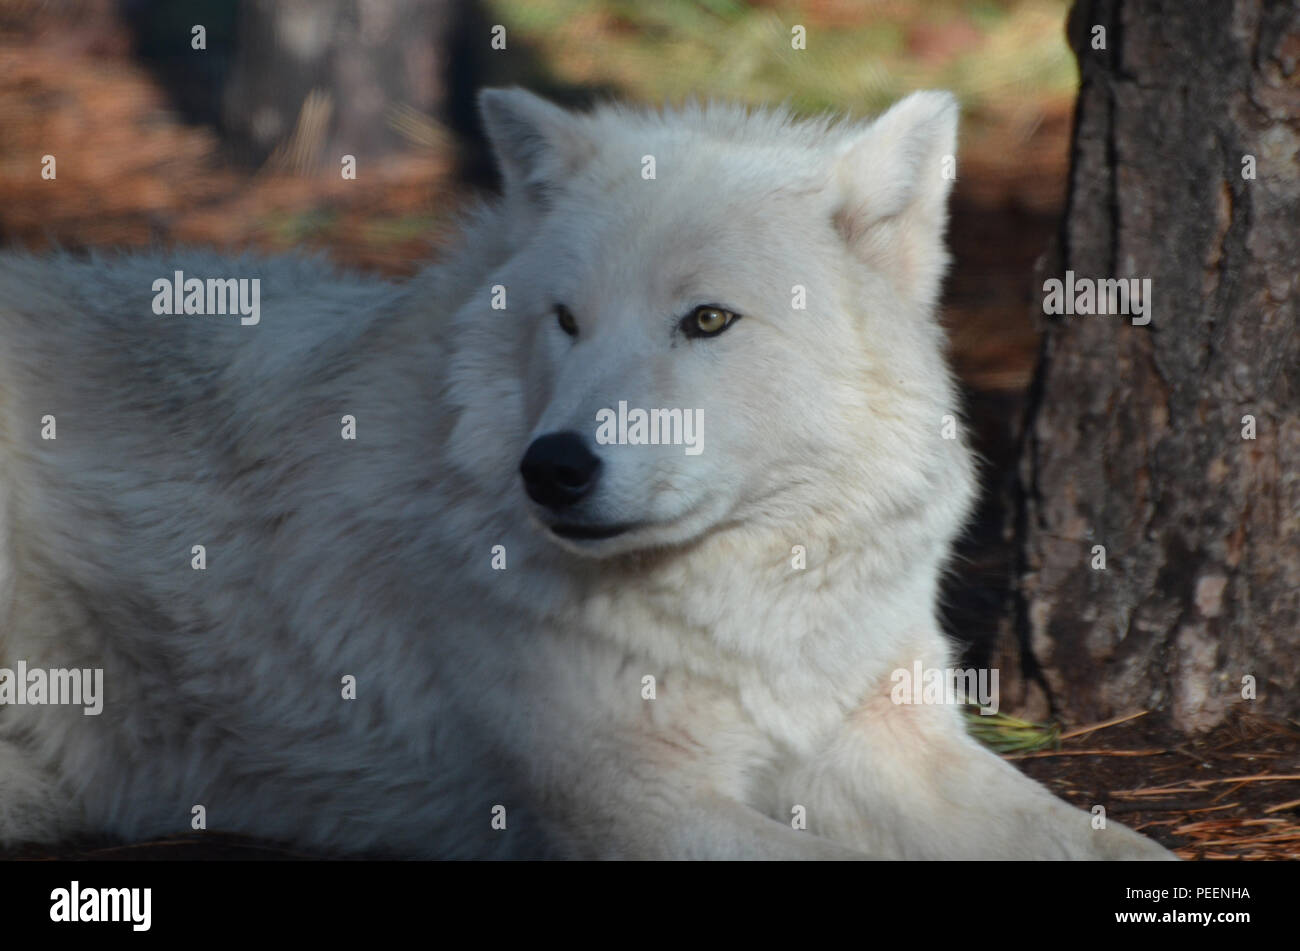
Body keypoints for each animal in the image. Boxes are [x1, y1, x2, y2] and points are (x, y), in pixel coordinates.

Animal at [0, 88, 1173, 859]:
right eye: (566, 320)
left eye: (707, 320)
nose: (551, 468)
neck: (744, 609)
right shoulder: (638, 804)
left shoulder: (885, 735)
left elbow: (1109, 846)